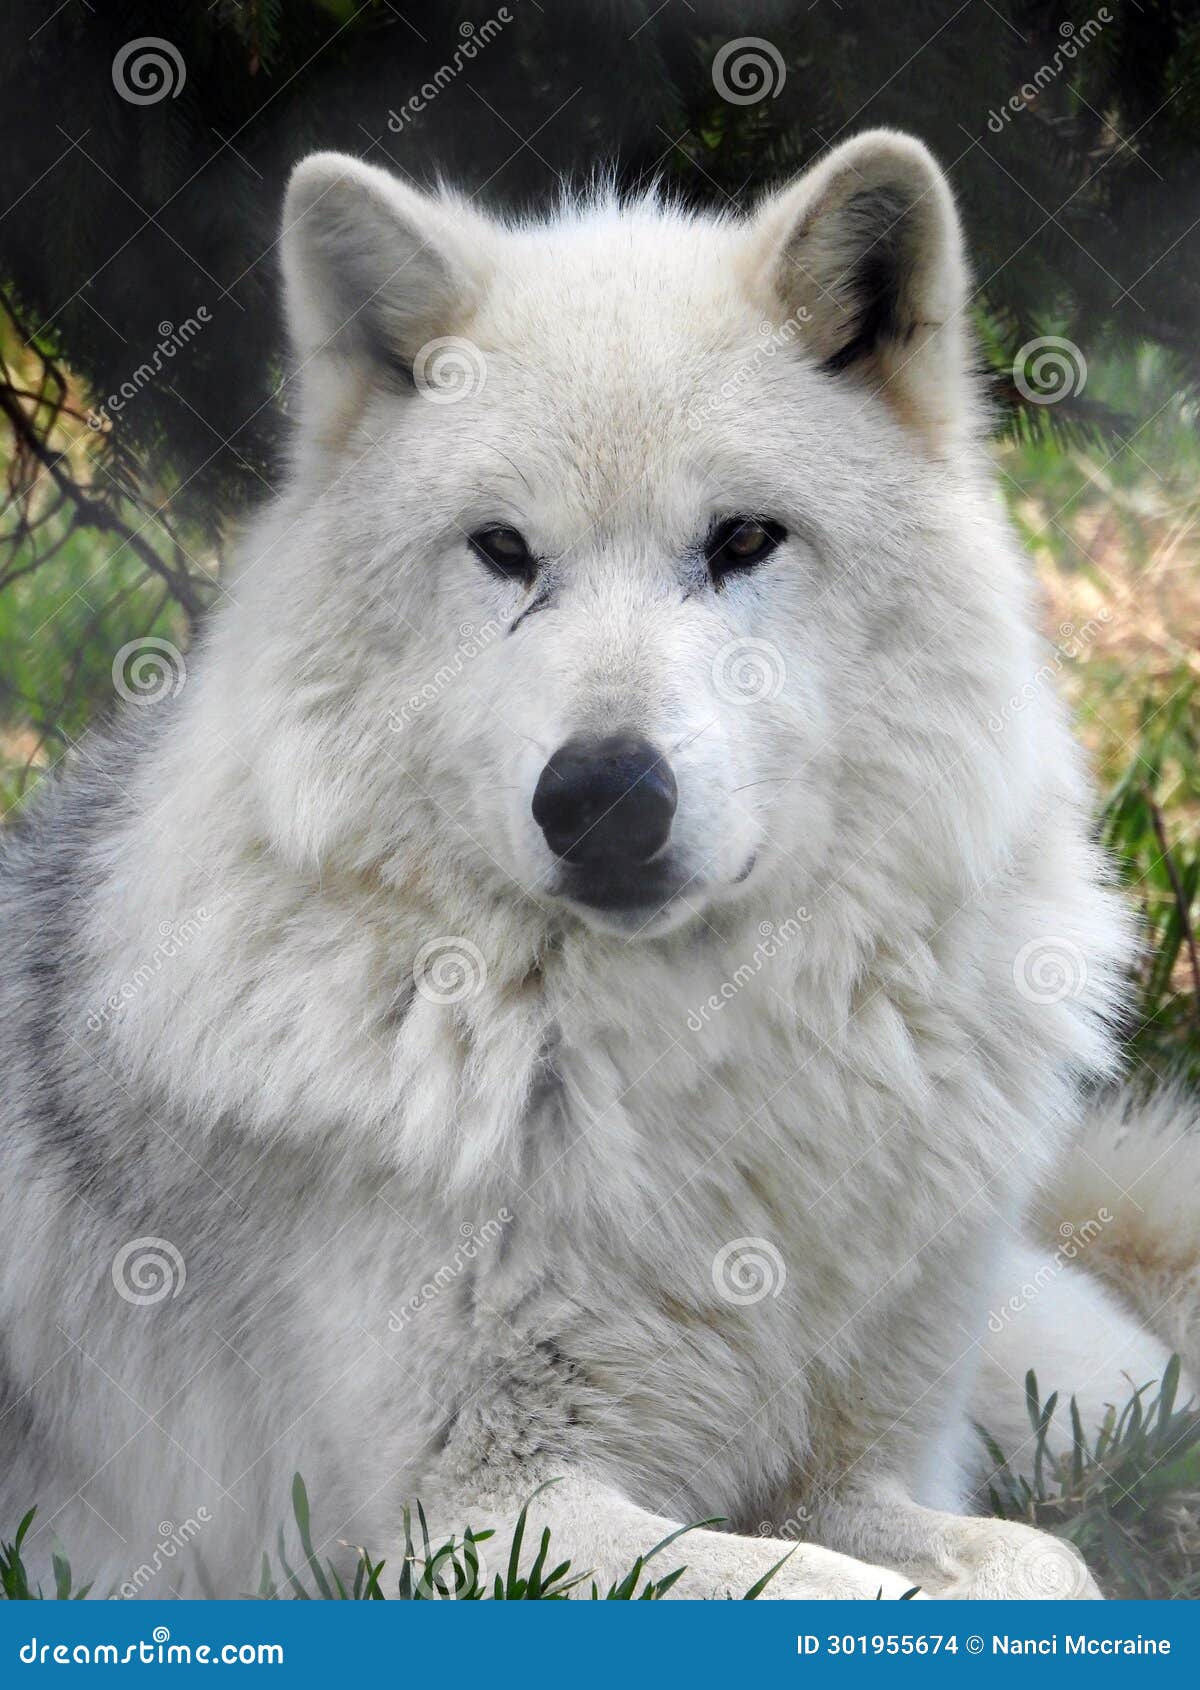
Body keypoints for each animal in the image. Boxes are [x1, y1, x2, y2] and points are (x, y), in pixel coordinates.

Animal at [1, 130, 1197, 1600]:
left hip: (1080, 1389)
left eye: (743, 539)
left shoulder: (860, 1474)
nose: (604, 796)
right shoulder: (470, 1519)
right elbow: (829, 1587)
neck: (685, 1049)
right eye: (505, 550)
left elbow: (1042, 1566)